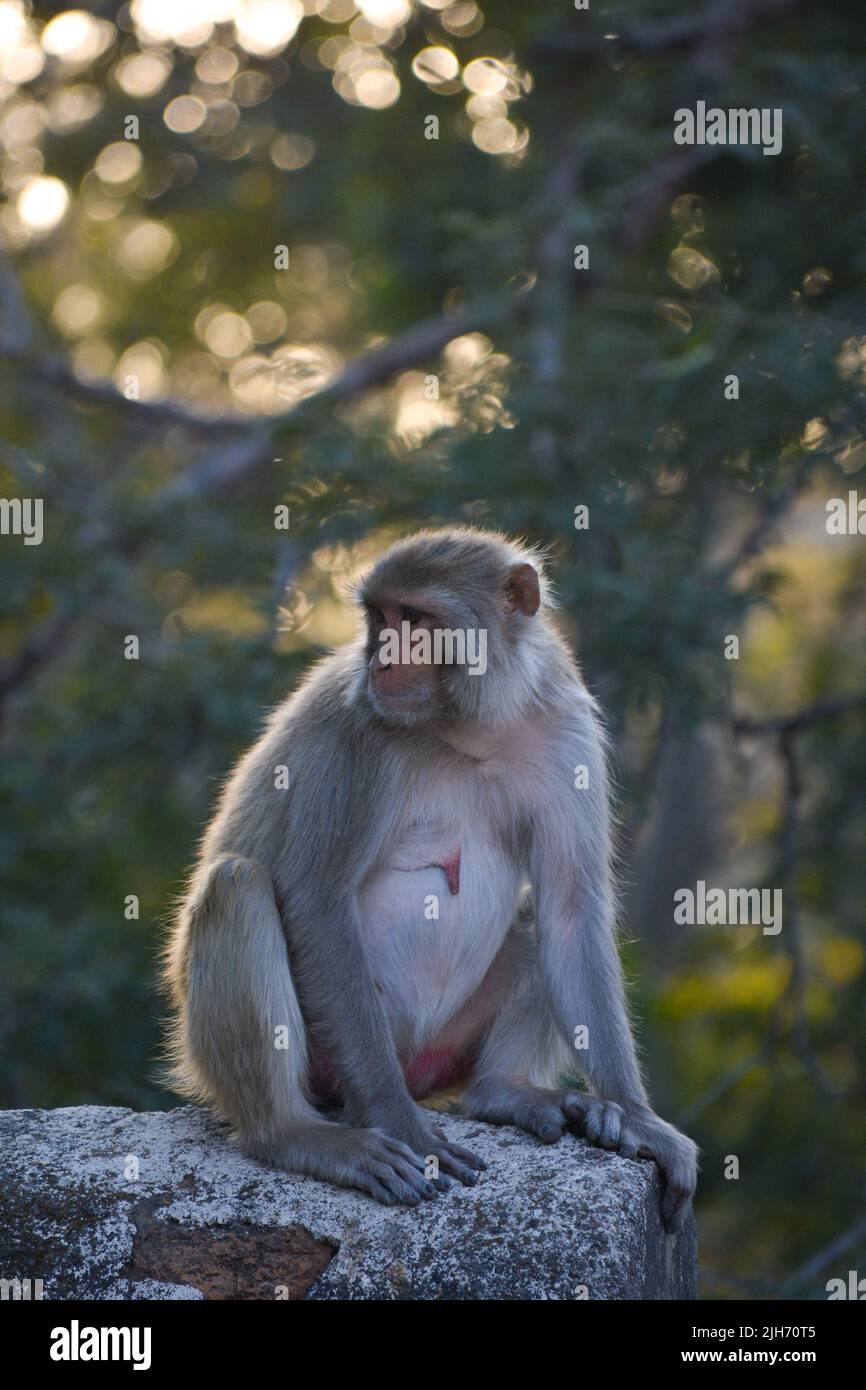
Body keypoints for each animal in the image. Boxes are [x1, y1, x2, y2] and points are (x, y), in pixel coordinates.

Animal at [163, 526, 697, 1230]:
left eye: (415, 619)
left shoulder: (567, 730)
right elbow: (317, 902)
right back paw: (294, 1134)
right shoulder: (352, 729)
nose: (382, 660)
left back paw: (504, 1093)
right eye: (379, 618)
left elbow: (569, 910)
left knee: (537, 915)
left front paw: (638, 1118)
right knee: (238, 887)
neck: (468, 727)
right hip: (324, 1062)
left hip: (442, 1052)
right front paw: (401, 1125)